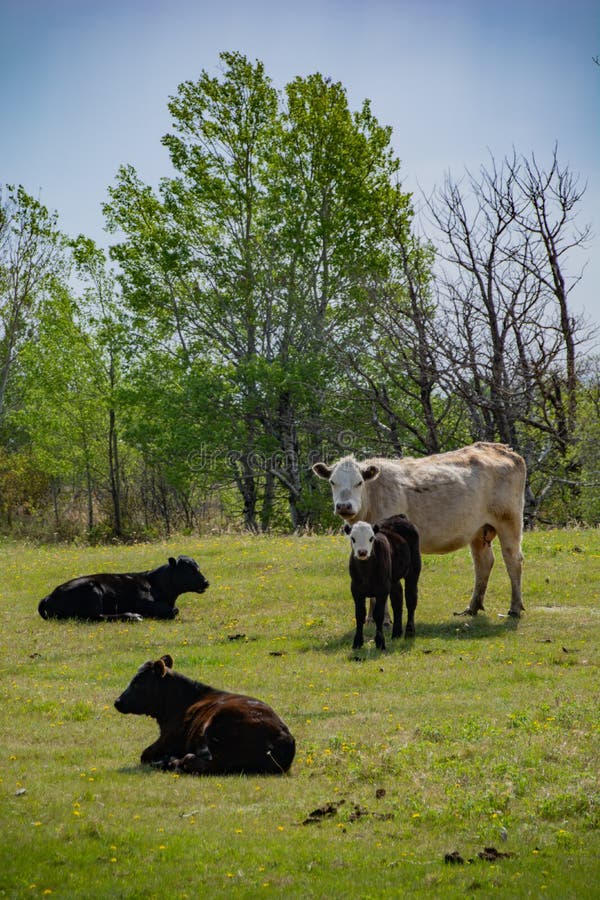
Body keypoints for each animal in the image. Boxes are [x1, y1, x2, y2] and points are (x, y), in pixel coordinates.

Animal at [38, 555, 209, 621]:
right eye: (188, 570)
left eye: (198, 567)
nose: (206, 582)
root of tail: (49, 595)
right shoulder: (142, 602)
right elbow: (172, 611)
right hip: (92, 591)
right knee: (97, 616)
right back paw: (132, 616)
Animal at [114, 655, 296, 775]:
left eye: (139, 681)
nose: (117, 701)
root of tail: (283, 736)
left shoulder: (168, 738)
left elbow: (145, 754)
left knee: (200, 762)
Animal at [313, 442, 526, 618]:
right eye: (333, 482)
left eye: (359, 482)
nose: (344, 506)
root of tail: (502, 449)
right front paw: (370, 619)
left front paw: (384, 619)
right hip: (478, 530)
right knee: (483, 563)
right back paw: (472, 607)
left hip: (509, 521)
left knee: (513, 560)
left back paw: (515, 608)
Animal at [345, 514, 421, 651]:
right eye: (353, 538)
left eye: (371, 538)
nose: (362, 552)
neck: (366, 572)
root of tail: (398, 517)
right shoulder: (355, 589)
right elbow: (360, 614)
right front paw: (357, 642)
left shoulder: (382, 589)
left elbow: (379, 614)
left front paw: (380, 642)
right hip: (394, 579)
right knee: (397, 601)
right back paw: (396, 633)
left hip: (414, 568)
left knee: (411, 599)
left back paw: (409, 632)